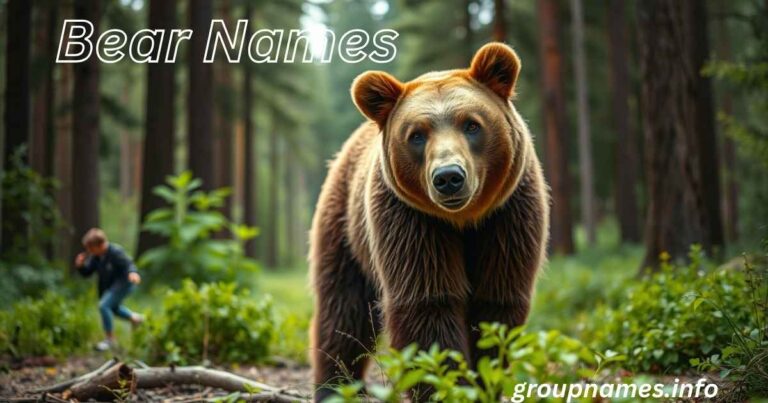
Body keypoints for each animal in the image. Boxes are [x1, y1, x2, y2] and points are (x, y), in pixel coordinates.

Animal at [309, 42, 549, 401]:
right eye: (417, 135)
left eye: (472, 125)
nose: (449, 177)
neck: (463, 220)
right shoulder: (411, 221)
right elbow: (428, 304)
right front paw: (448, 386)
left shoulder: (508, 216)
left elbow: (496, 302)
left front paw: (484, 380)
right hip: (345, 227)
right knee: (342, 311)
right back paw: (335, 386)